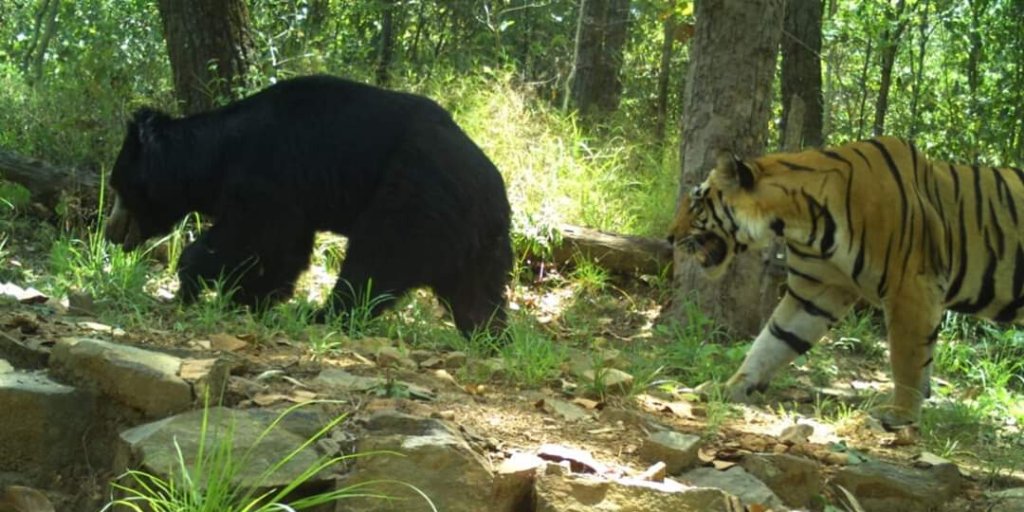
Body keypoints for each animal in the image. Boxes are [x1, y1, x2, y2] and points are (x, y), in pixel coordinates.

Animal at [104, 75, 513, 337]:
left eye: (117, 188)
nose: (110, 233)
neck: (217, 156)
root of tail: (495, 193)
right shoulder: (293, 196)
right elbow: (284, 251)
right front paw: (250, 296)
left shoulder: (269, 175)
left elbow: (250, 232)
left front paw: (191, 284)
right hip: (476, 244)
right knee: (477, 294)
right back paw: (487, 334)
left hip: (414, 201)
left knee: (375, 260)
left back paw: (323, 313)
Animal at [668, 135, 1024, 428]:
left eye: (696, 203)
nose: (670, 237)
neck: (795, 222)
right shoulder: (817, 291)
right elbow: (772, 341)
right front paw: (731, 386)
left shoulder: (911, 288)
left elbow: (907, 358)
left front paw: (900, 414)